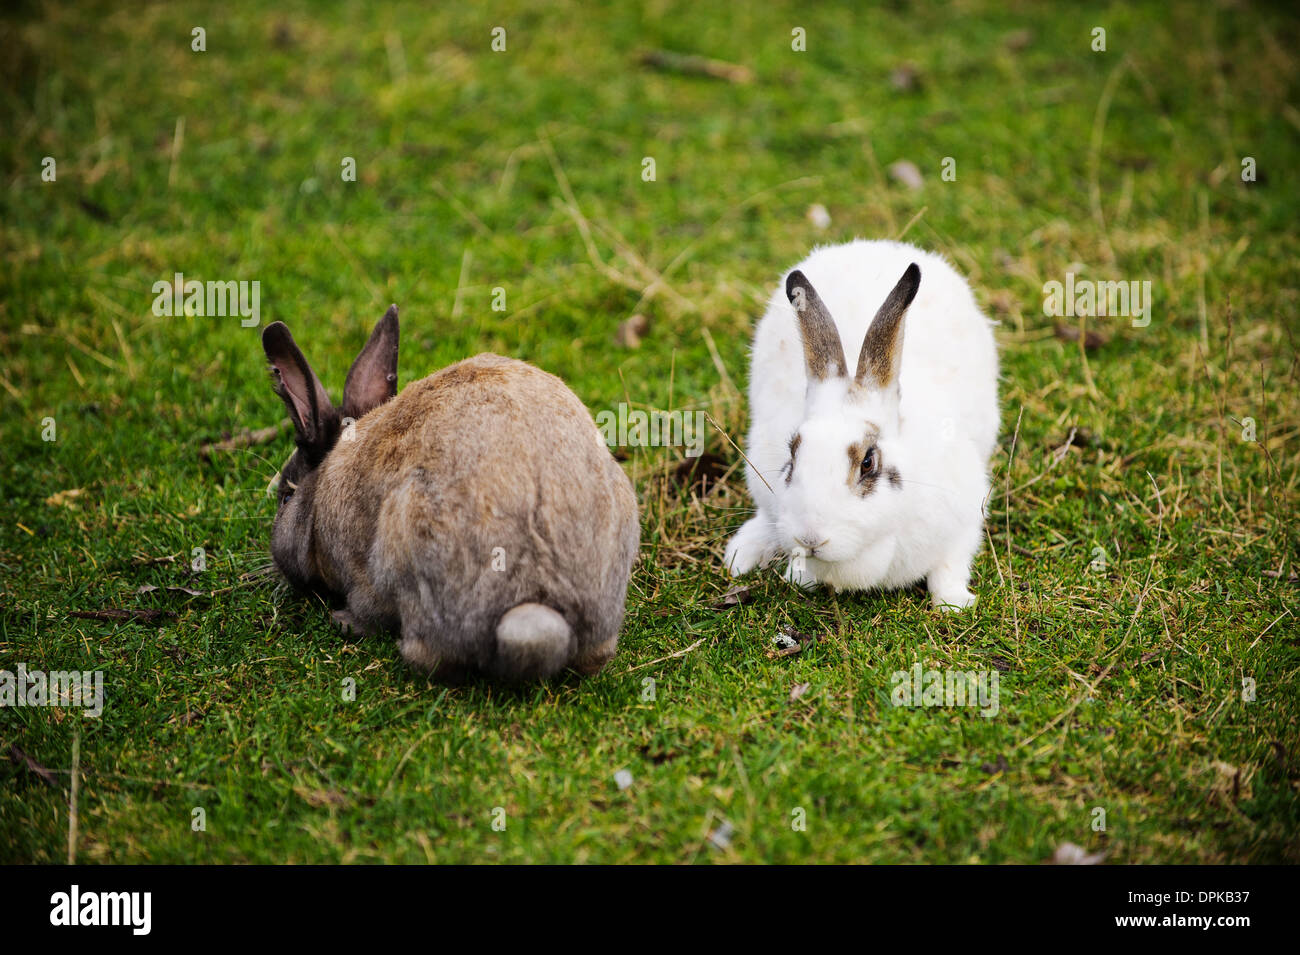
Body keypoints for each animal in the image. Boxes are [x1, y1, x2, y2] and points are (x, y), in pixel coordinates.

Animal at [723, 239, 999, 610]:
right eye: (792, 458)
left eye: (868, 462)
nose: (811, 538)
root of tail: (873, 244)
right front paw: (799, 575)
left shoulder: (966, 517)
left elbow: (948, 567)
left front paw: (954, 603)